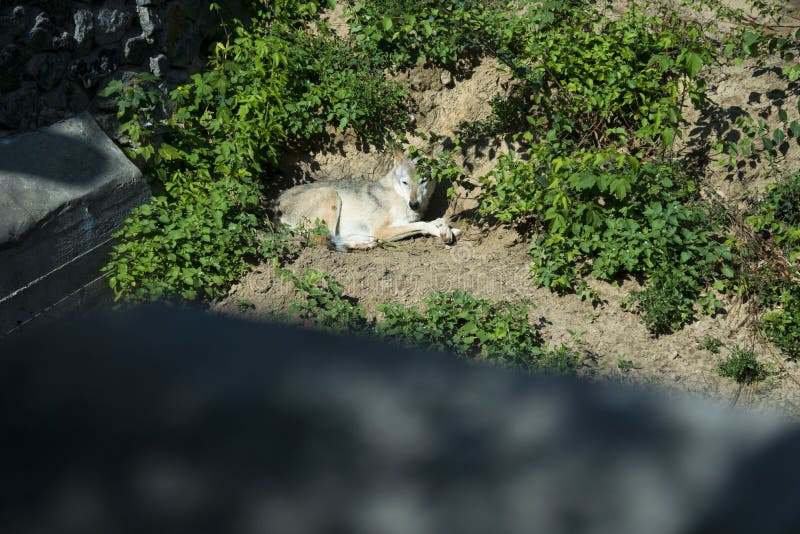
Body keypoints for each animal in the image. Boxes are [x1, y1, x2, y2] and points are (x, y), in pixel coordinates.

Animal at [274, 149, 461, 251]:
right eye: (405, 182)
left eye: (423, 181)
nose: (414, 204)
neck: (398, 196)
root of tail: (273, 206)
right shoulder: (380, 230)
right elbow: (422, 224)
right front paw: (441, 230)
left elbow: (439, 220)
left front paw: (448, 229)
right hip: (330, 194)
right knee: (323, 240)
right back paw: (363, 244)